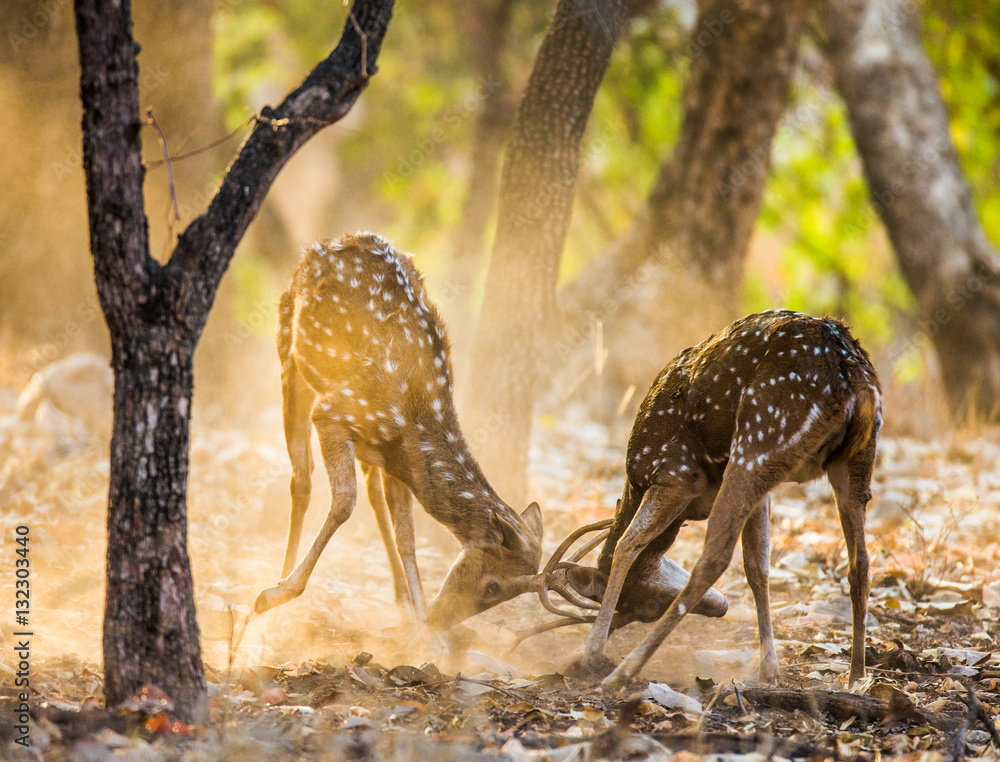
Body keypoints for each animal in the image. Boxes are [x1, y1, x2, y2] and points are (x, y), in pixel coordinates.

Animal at [252, 232, 544, 630]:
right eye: (494, 585)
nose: (442, 619)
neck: (416, 419)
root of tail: (325, 243)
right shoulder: (332, 413)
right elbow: (344, 504)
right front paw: (273, 595)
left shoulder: (400, 457)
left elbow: (407, 536)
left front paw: (422, 631)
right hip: (289, 354)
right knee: (302, 479)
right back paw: (275, 599)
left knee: (370, 492)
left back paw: (401, 600)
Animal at [562, 310, 881, 690]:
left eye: (643, 609)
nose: (719, 607)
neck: (635, 481)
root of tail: (850, 371)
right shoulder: (760, 494)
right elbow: (758, 566)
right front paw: (770, 669)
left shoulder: (675, 474)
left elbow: (627, 543)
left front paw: (590, 652)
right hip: (853, 457)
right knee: (860, 562)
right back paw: (857, 676)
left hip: (759, 437)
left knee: (714, 556)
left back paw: (622, 672)